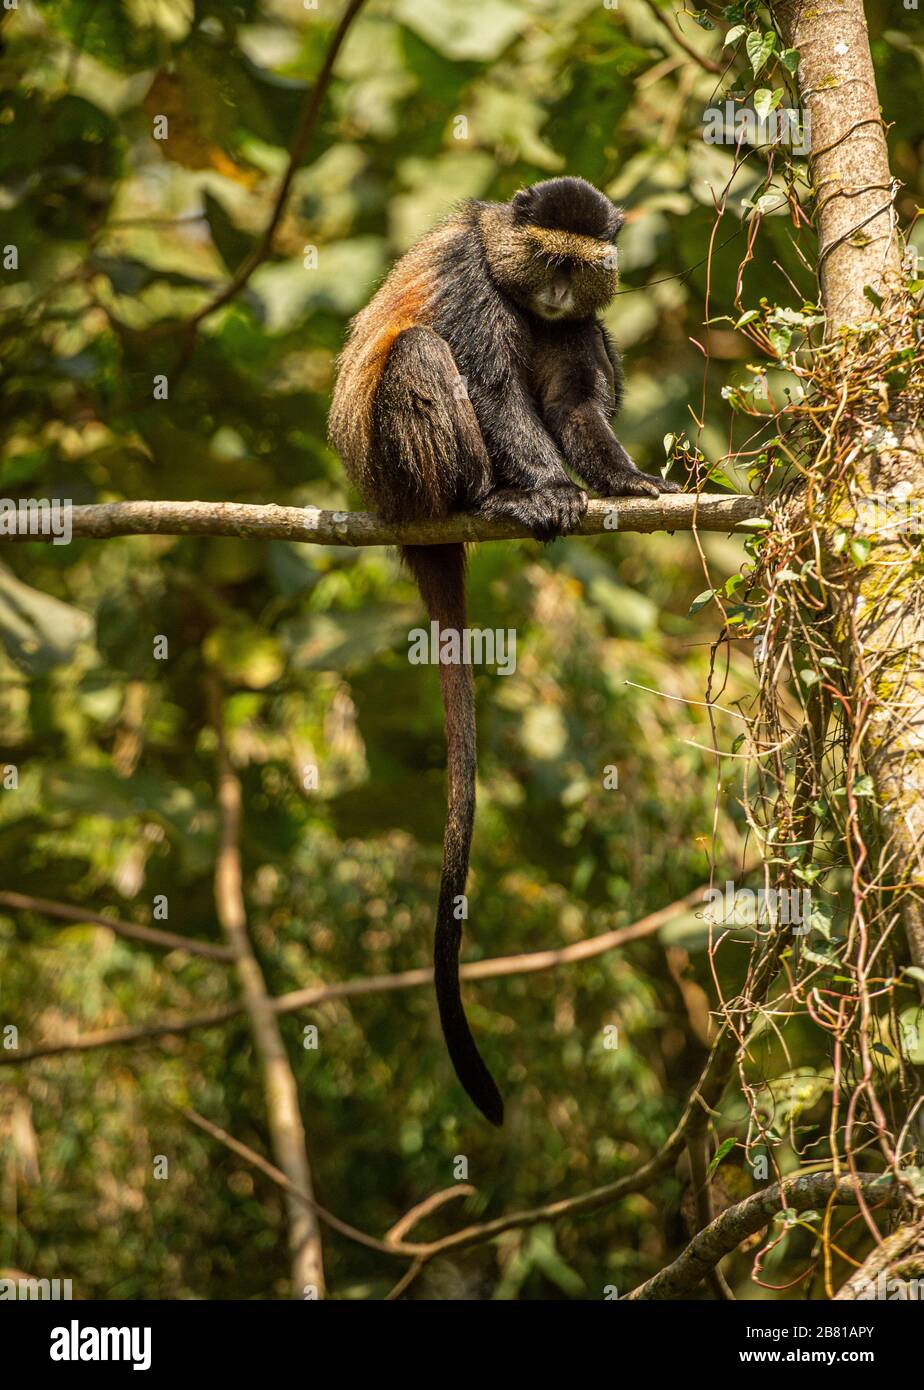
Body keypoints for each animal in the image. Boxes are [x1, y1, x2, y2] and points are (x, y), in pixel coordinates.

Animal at [329, 176, 679, 1126]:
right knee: (422, 354)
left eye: (579, 266)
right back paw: (491, 498)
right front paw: (552, 488)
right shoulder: (468, 280)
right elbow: (489, 385)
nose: (558, 295)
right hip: (403, 473)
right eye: (548, 257)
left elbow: (574, 401)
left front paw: (627, 481)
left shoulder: (581, 324)